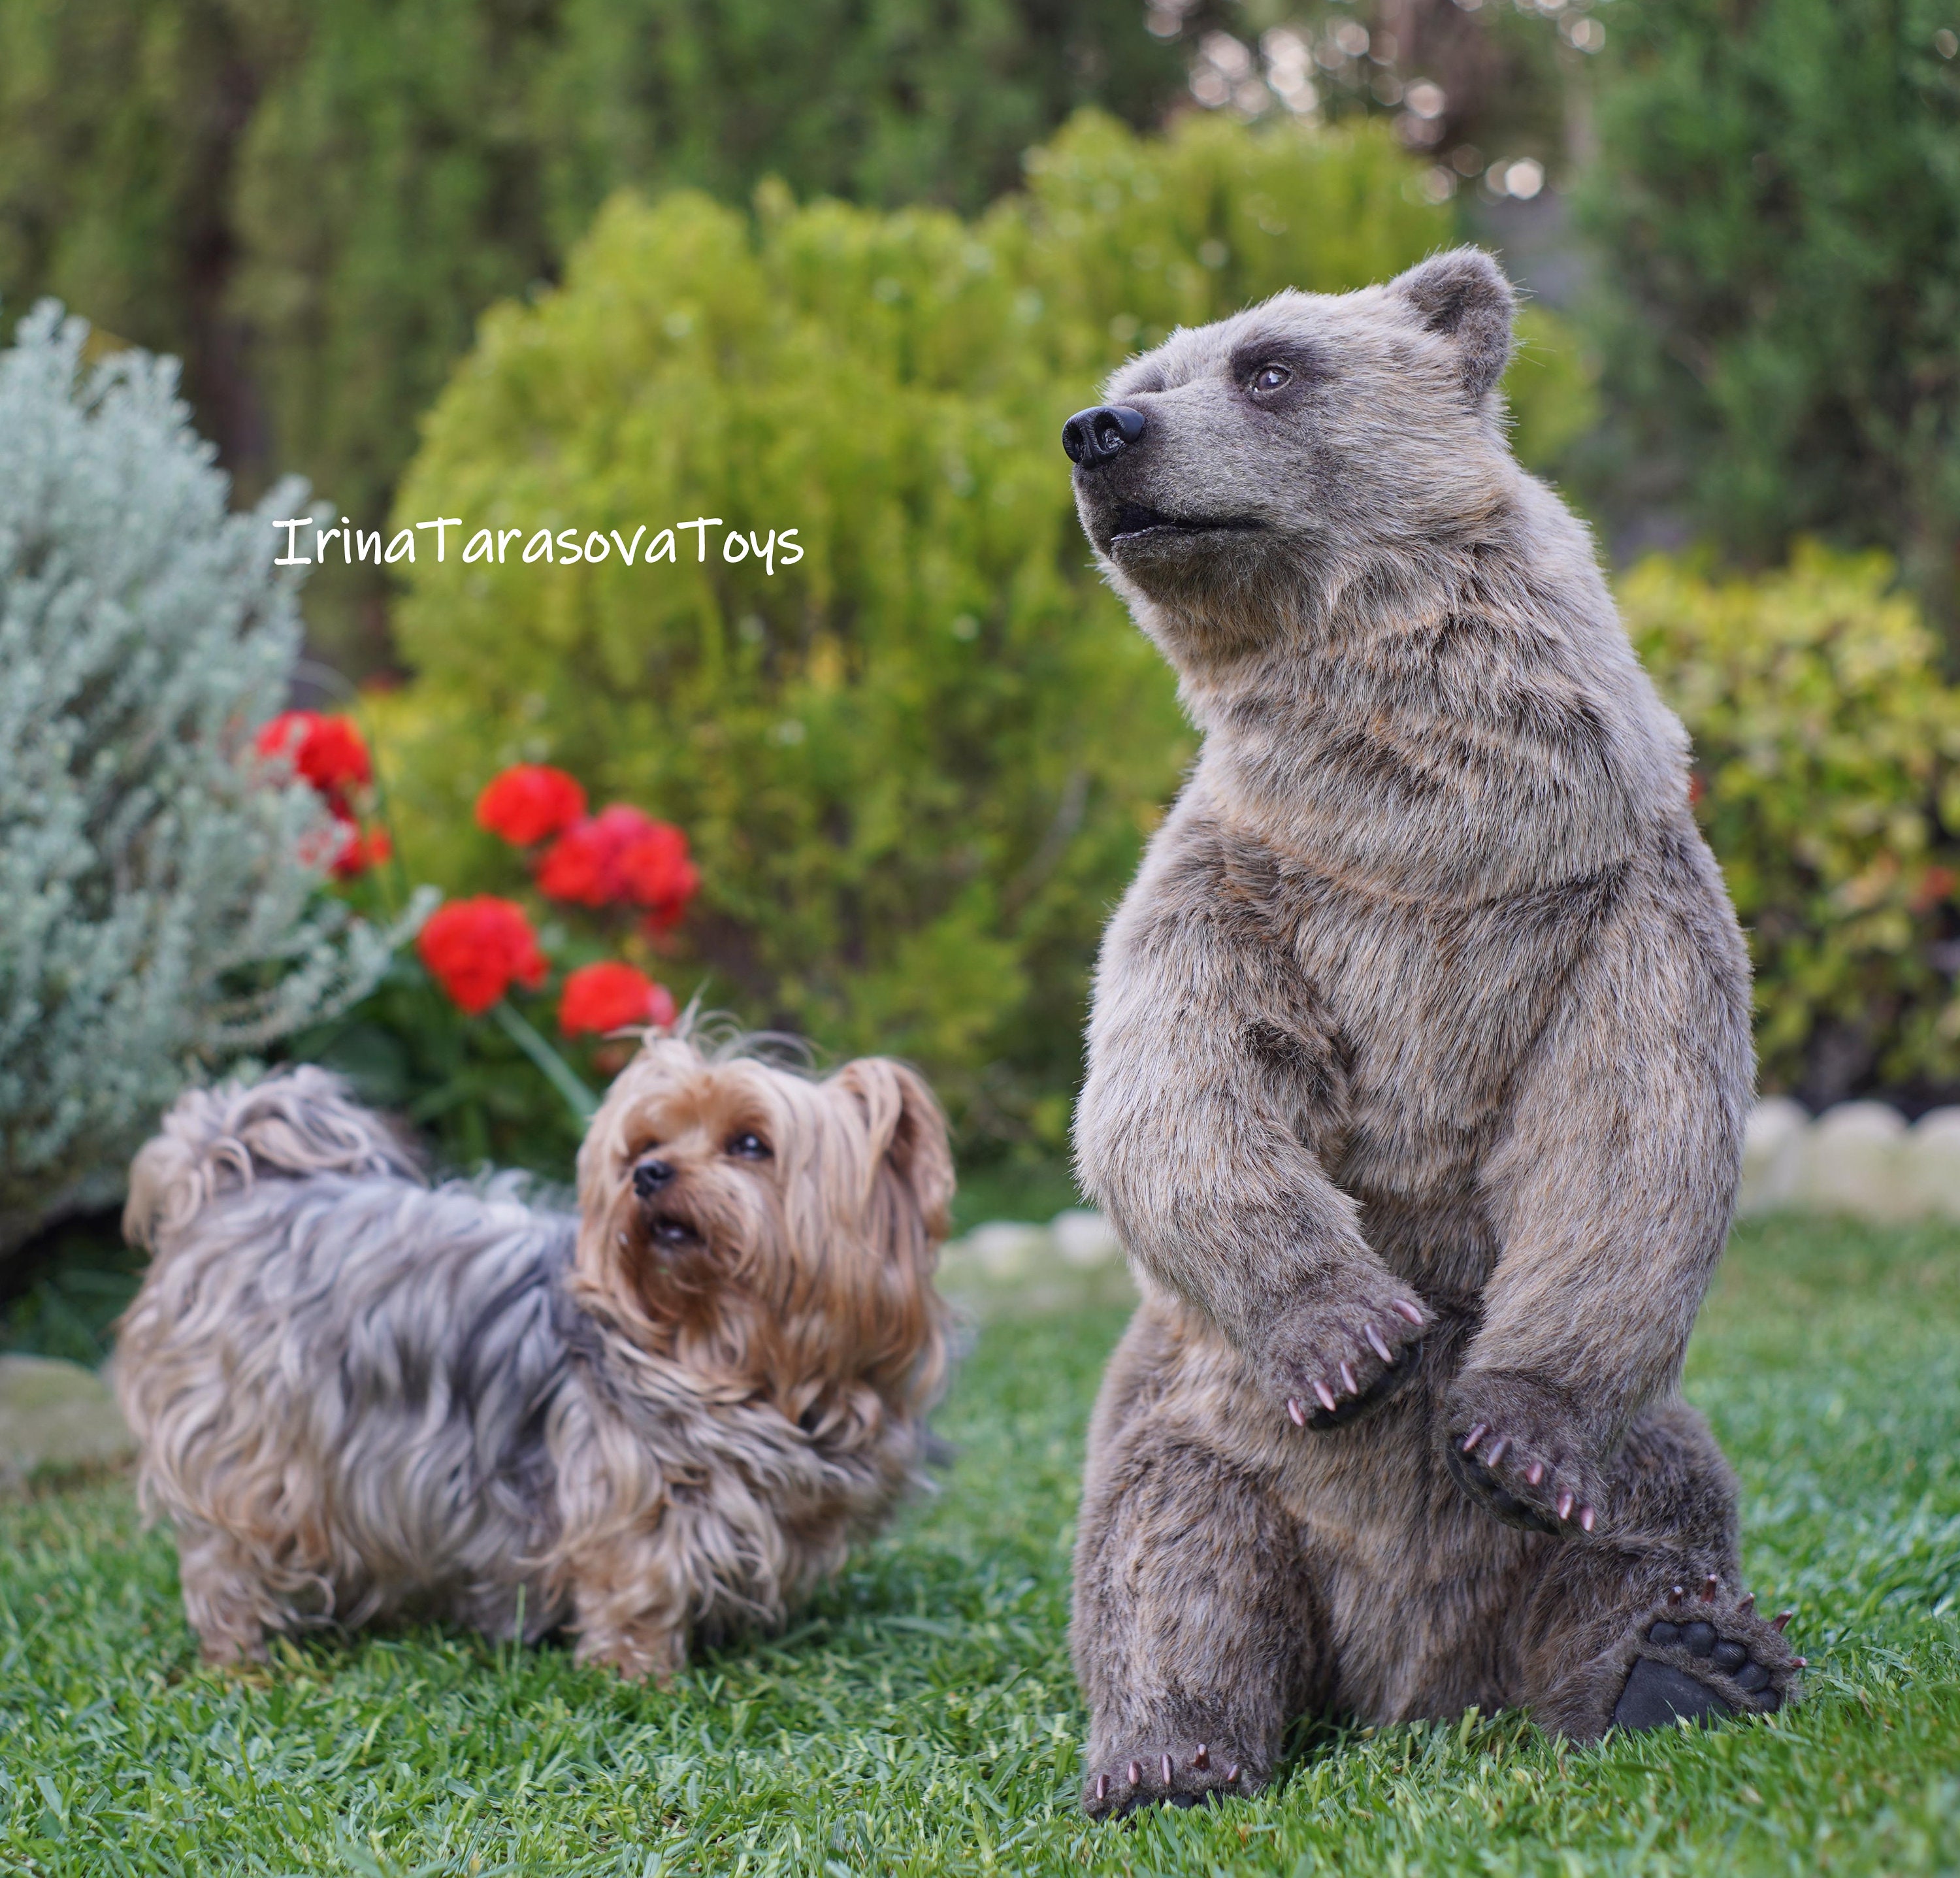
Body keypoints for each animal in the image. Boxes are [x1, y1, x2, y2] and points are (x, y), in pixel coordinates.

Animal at [1060, 248, 1803, 1819]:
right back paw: (1171, 1751)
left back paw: (1683, 1663)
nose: (1101, 432)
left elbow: (1631, 1130)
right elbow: (1173, 1088)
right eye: (1147, 373)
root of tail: (1410, 1684)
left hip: (1643, 1448)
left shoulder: (1618, 899)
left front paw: (1515, 1430)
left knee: (1652, 1522)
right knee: (1175, 1553)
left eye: (1270, 365)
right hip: (1196, 1427)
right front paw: (1354, 1338)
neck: (1427, 834)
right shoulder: (1238, 882)